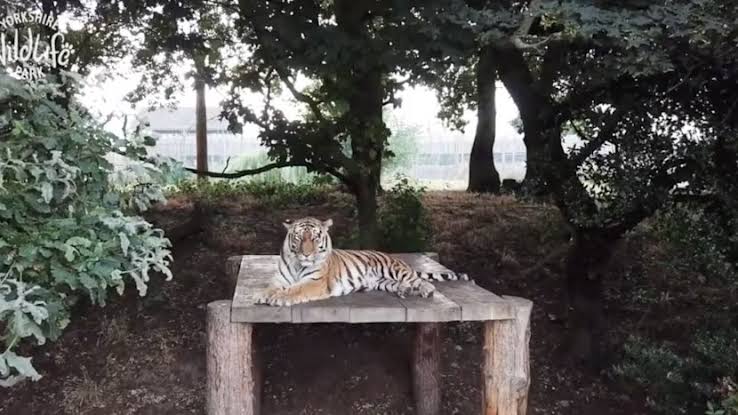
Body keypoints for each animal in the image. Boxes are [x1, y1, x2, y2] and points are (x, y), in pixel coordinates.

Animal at [254, 216, 469, 307]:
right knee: (404, 284)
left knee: (421, 281)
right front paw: (262, 295)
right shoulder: (280, 279)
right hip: (383, 282)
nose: (306, 255)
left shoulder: (315, 282)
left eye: (315, 238)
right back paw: (404, 291)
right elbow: (271, 287)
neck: (299, 265)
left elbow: (296, 289)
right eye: (298, 237)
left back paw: (425, 291)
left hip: (394, 269)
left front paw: (279, 298)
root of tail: (394, 257)